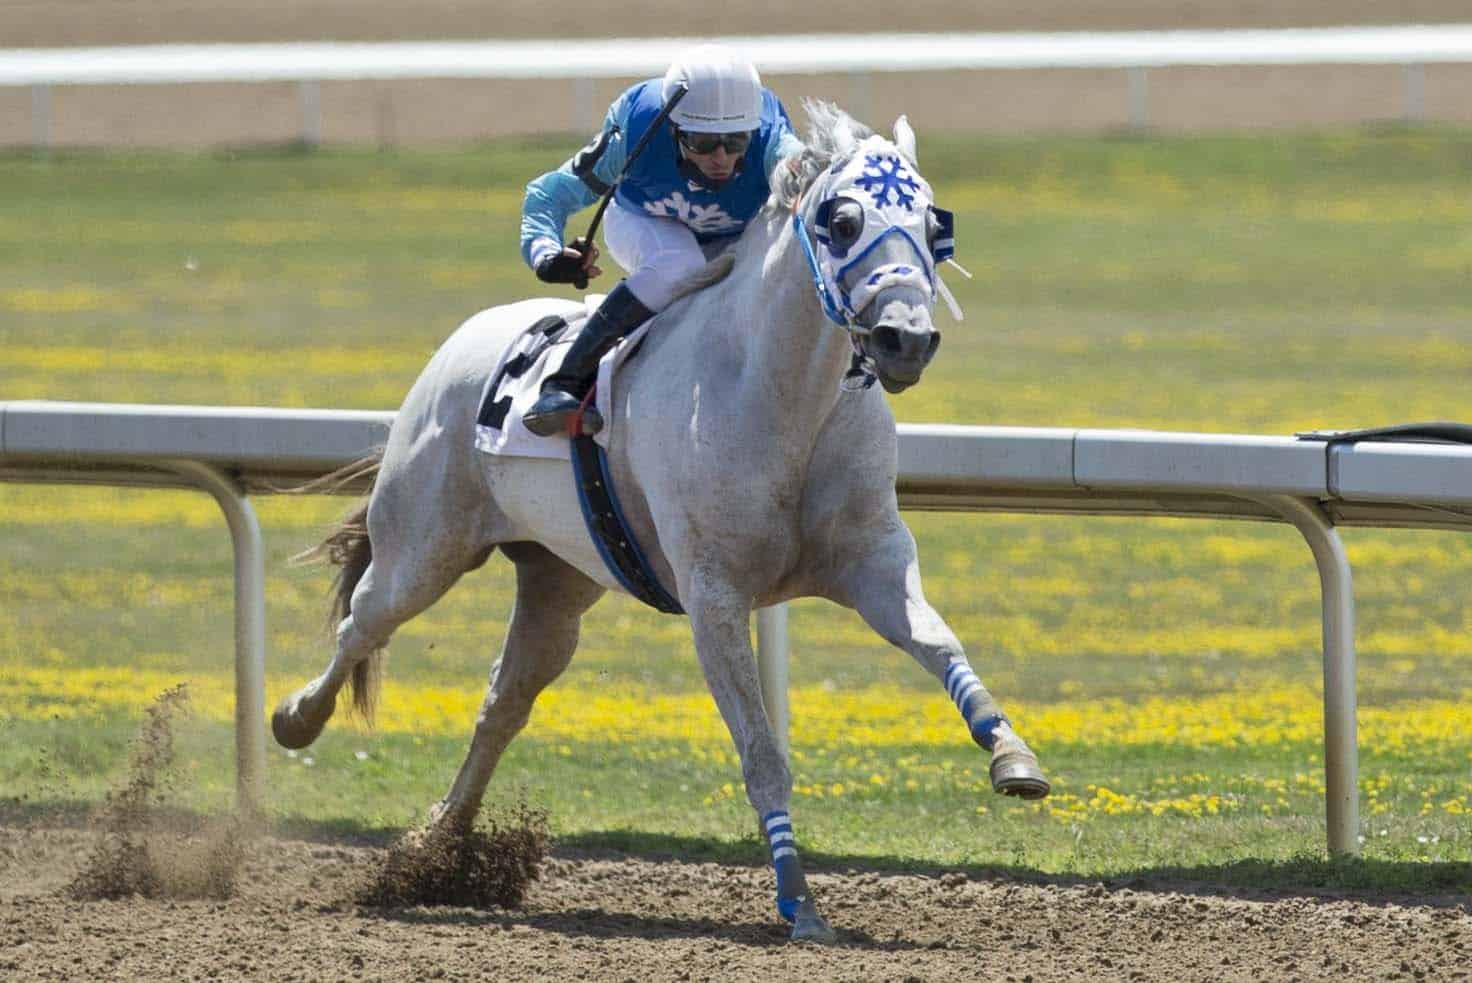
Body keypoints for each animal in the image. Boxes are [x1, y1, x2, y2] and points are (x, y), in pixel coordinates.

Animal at [272, 102, 1049, 942]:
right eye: (843, 221)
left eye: (935, 223)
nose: (906, 338)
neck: (783, 398)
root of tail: (462, 342)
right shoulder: (715, 595)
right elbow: (761, 750)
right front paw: (798, 899)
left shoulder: (873, 560)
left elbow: (940, 644)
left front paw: (1013, 756)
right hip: (423, 544)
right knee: (362, 623)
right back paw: (297, 719)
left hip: (558, 582)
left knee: (502, 701)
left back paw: (438, 848)